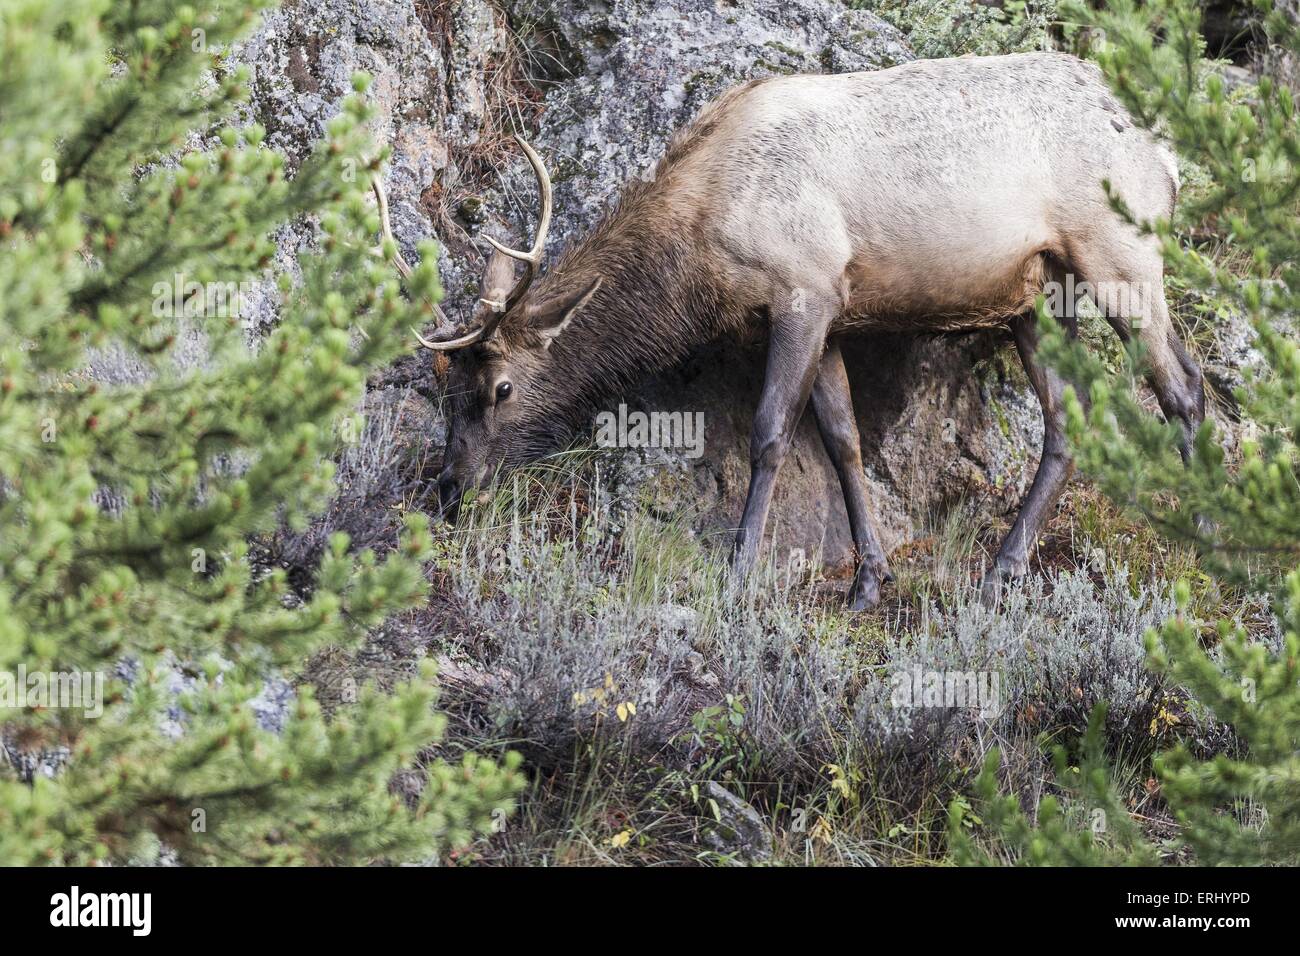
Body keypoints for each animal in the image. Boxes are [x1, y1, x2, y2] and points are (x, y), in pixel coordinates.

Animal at [375, 51, 1205, 610]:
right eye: (445, 392)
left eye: (500, 388)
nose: (450, 486)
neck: (702, 253)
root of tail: (1170, 155)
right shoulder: (831, 312)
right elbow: (843, 438)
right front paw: (869, 578)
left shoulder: (803, 285)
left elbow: (772, 432)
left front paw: (739, 570)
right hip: (1036, 295)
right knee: (1069, 418)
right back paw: (1001, 568)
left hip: (1120, 250)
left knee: (1183, 386)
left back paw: (1205, 535)